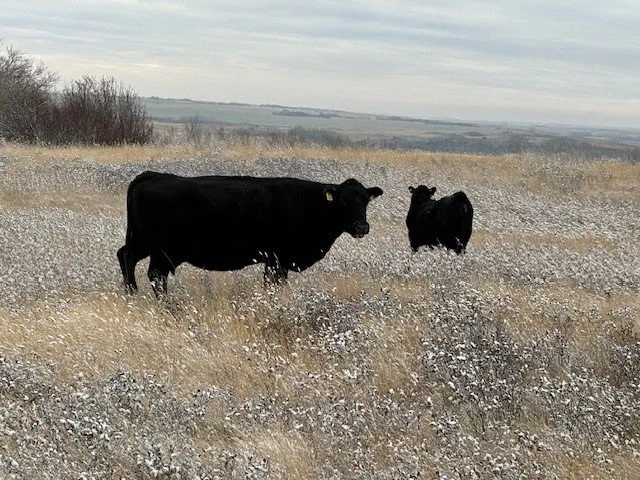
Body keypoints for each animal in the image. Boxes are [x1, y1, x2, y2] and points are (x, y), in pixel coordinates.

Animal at [117, 172, 383, 295]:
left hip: (141, 241)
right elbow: (273, 282)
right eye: (343, 202)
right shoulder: (276, 258)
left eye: (365, 201)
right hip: (162, 250)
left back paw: (132, 293)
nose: (362, 226)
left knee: (125, 256)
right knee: (155, 274)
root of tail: (153, 175)